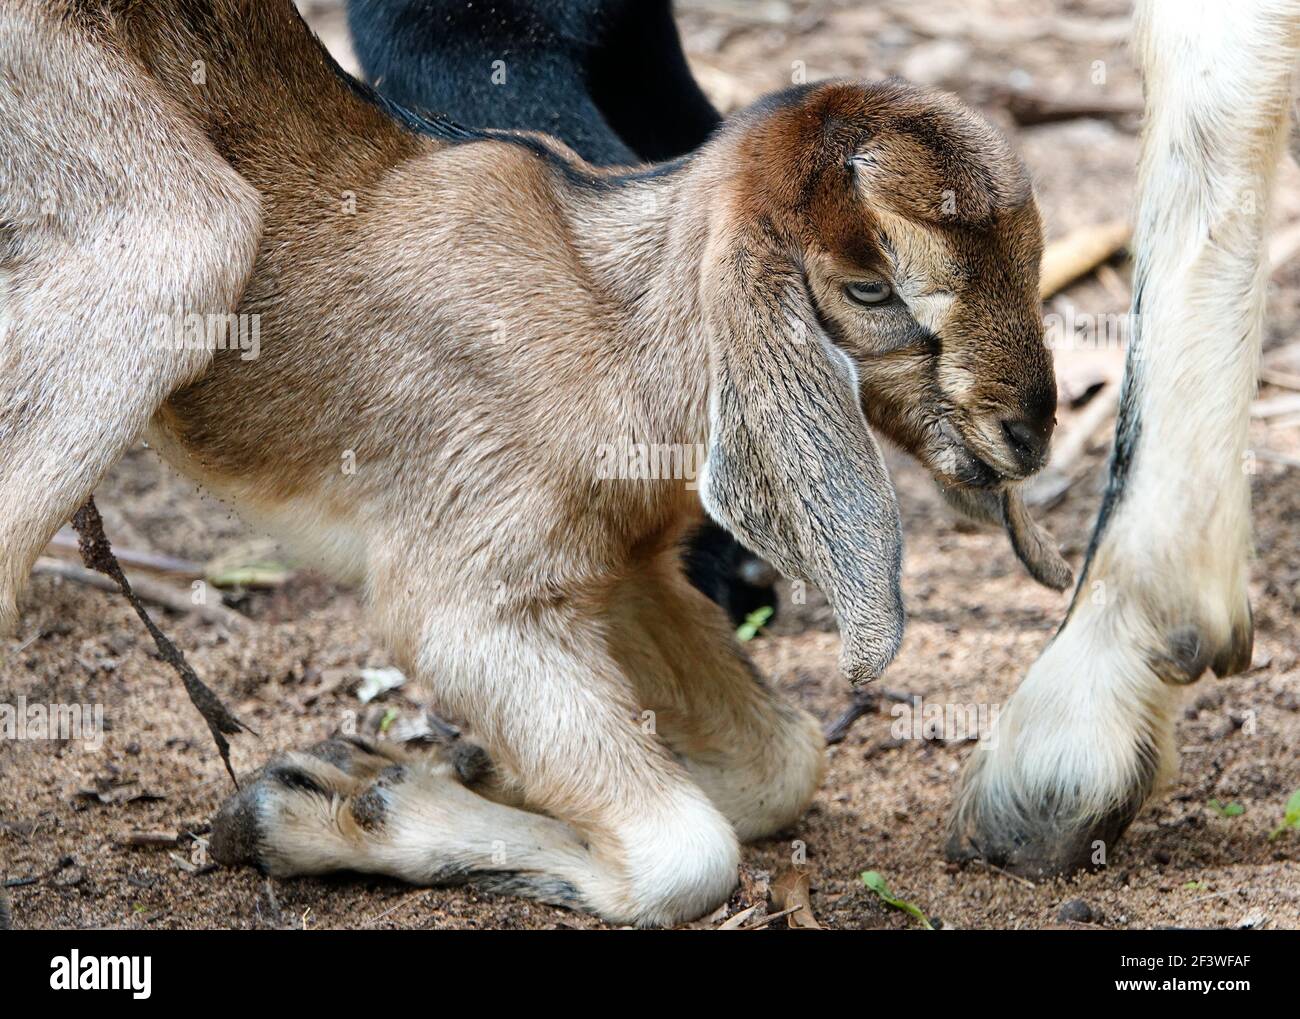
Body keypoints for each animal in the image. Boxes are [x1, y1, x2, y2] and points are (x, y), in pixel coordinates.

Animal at [0, 0, 1060, 925]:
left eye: (1029, 256)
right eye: (870, 288)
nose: (1031, 430)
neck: (614, 329)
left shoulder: (622, 566)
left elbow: (786, 759)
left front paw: (433, 770)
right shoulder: (470, 597)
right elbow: (687, 851)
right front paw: (330, 807)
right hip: (162, 237)